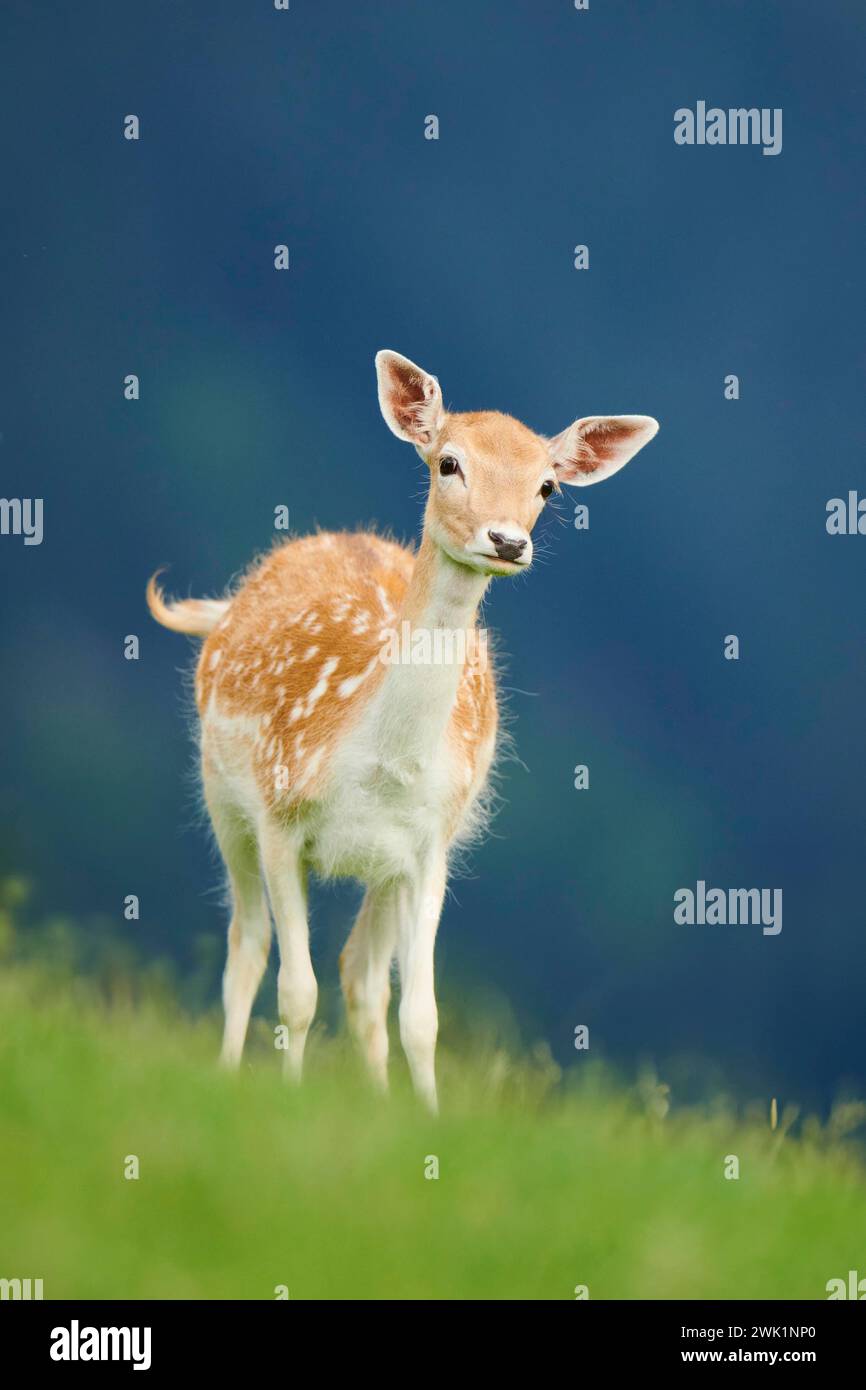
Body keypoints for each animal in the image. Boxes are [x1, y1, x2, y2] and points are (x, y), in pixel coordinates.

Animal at [147, 351, 659, 1111]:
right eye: (448, 463)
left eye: (548, 485)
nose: (507, 540)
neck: (376, 764)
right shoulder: (280, 816)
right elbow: (296, 992)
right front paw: (288, 1099)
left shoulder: (428, 846)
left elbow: (422, 1015)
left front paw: (428, 1119)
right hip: (221, 794)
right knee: (247, 945)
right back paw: (228, 1074)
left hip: (388, 864)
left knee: (360, 974)